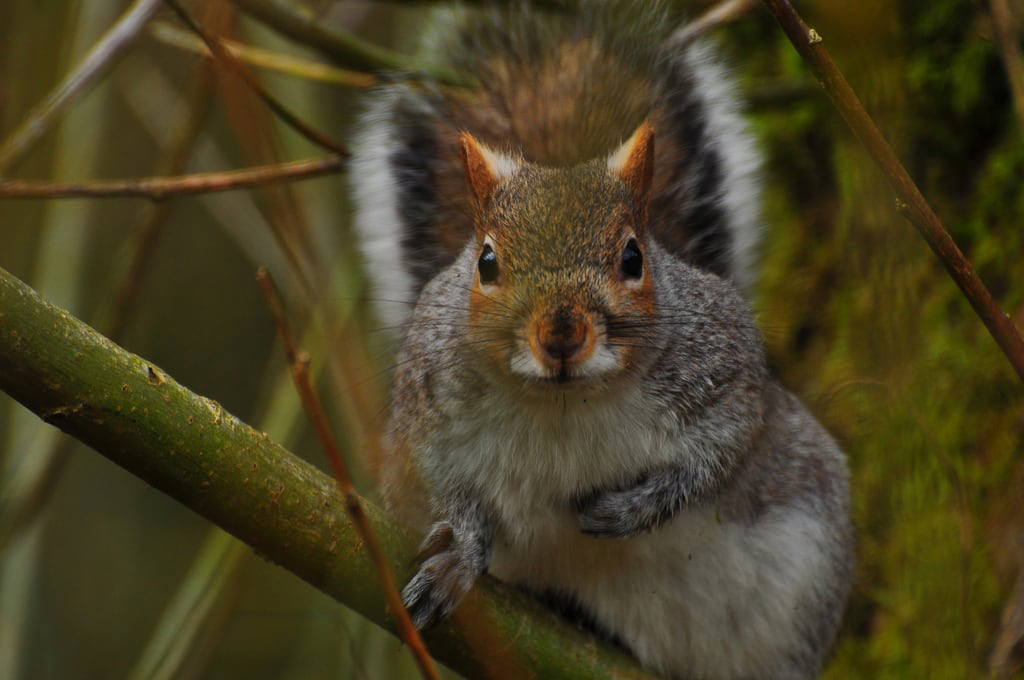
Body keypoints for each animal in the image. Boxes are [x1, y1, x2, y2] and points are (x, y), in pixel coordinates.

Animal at [349, 3, 854, 679]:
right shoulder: (425, 414)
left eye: (633, 257)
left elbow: (716, 456)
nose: (561, 334)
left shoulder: (724, 375)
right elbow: (440, 490)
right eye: (486, 261)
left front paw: (632, 509)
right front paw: (463, 554)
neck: (564, 400)